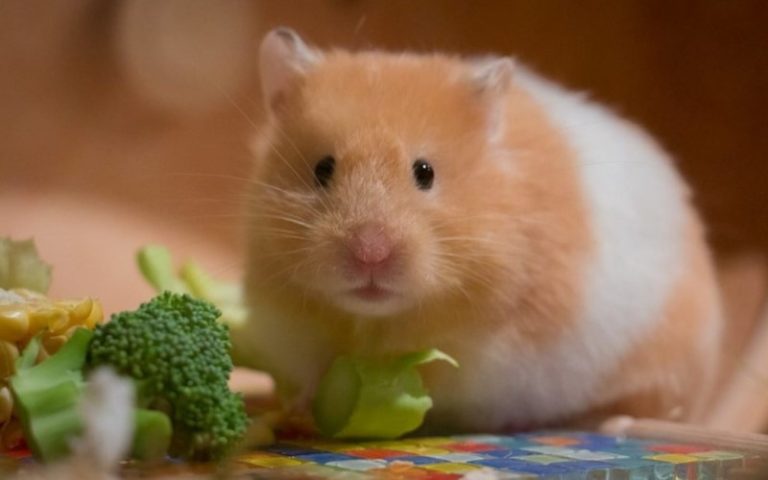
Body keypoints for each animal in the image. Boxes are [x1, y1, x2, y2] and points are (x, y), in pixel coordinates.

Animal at [240, 27, 723, 432]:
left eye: (425, 172)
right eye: (322, 169)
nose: (370, 254)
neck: (375, 321)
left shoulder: (499, 358)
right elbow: (314, 372)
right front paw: (305, 405)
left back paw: (611, 422)